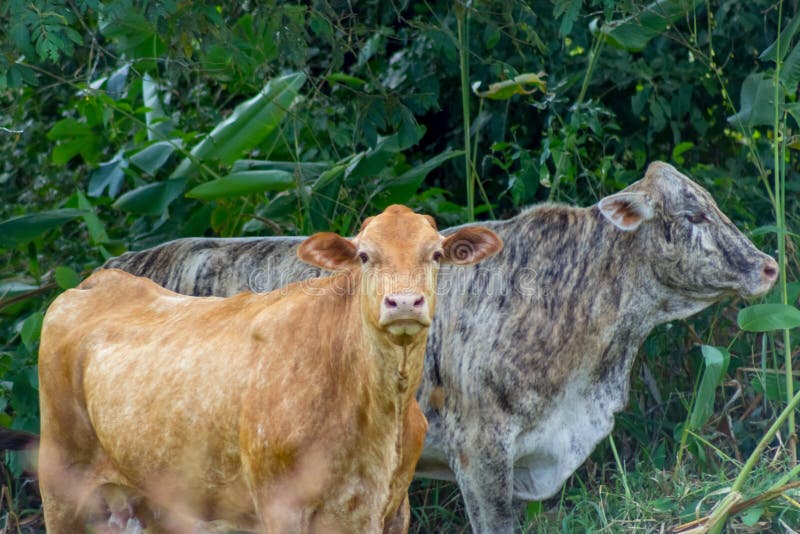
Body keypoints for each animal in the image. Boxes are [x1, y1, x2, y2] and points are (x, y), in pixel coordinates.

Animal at [37, 205, 503, 533]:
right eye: (364, 256)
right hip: (60, 482)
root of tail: (97, 281)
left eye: (436, 254)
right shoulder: (282, 506)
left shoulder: (392, 509)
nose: (404, 302)